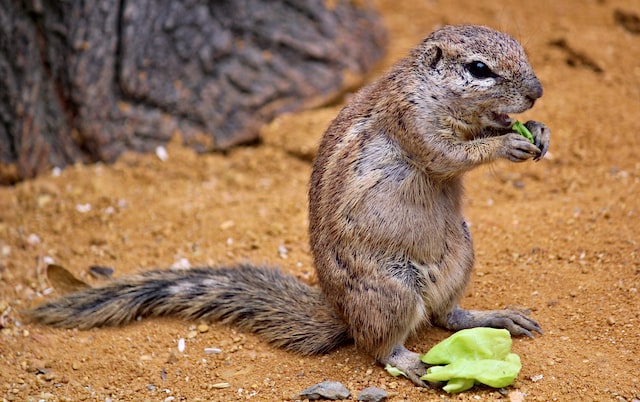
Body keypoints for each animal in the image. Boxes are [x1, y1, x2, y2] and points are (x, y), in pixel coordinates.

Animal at [29, 25, 550, 386]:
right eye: (479, 69)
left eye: (521, 50)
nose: (537, 92)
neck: (430, 92)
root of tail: (341, 314)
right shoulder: (412, 124)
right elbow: (449, 156)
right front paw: (506, 144)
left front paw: (538, 131)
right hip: (392, 291)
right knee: (379, 346)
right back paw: (411, 362)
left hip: (460, 253)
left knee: (446, 316)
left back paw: (491, 318)